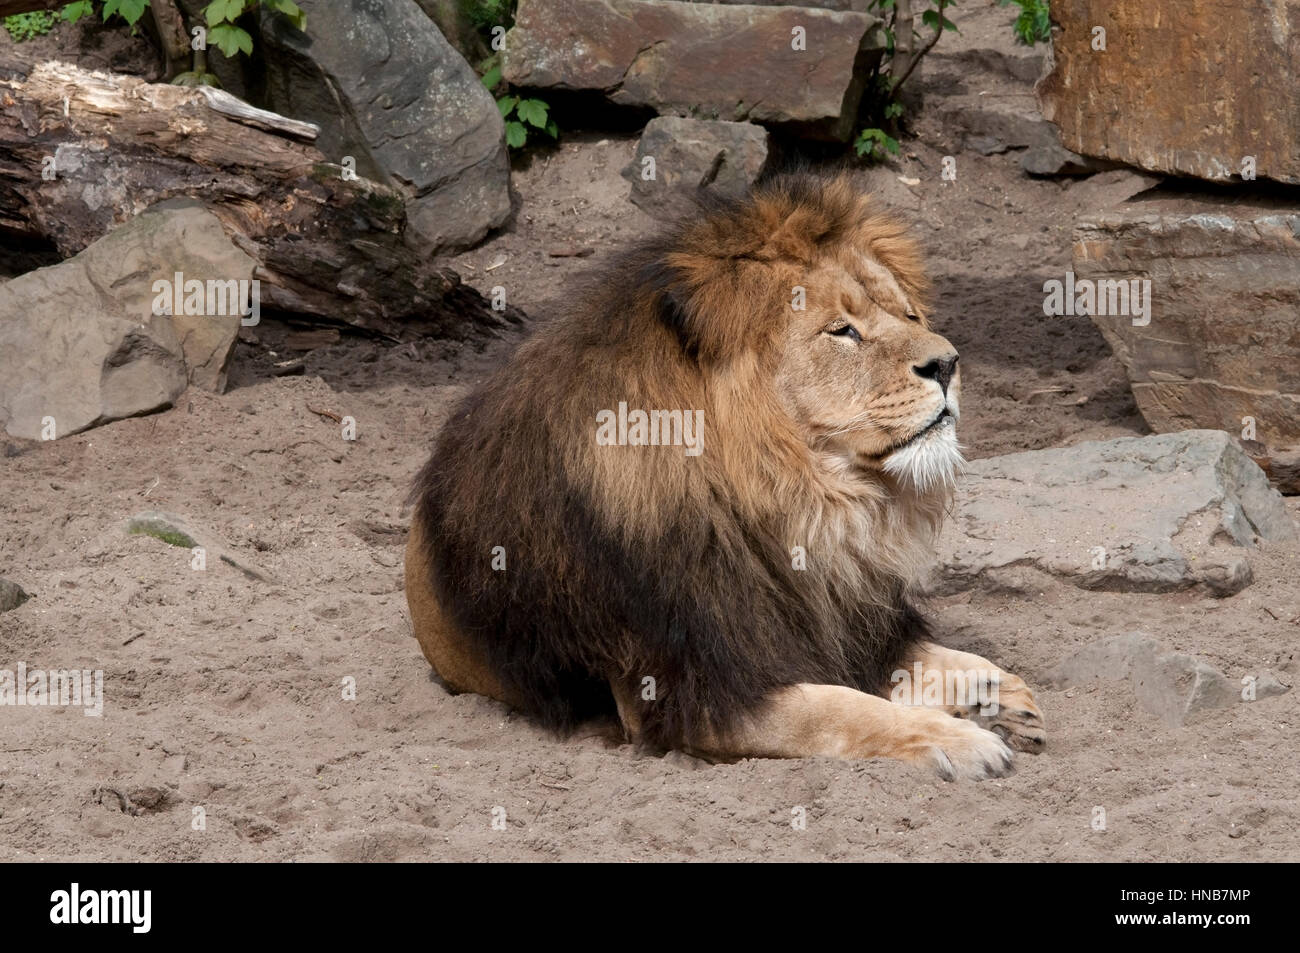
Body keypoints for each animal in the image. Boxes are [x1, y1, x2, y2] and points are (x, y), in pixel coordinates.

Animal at [405, 172, 1044, 780]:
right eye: (842, 331)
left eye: (908, 313)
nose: (949, 363)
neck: (795, 503)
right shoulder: (689, 691)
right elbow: (839, 710)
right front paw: (958, 739)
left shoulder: (844, 620)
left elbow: (929, 659)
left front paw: (998, 695)